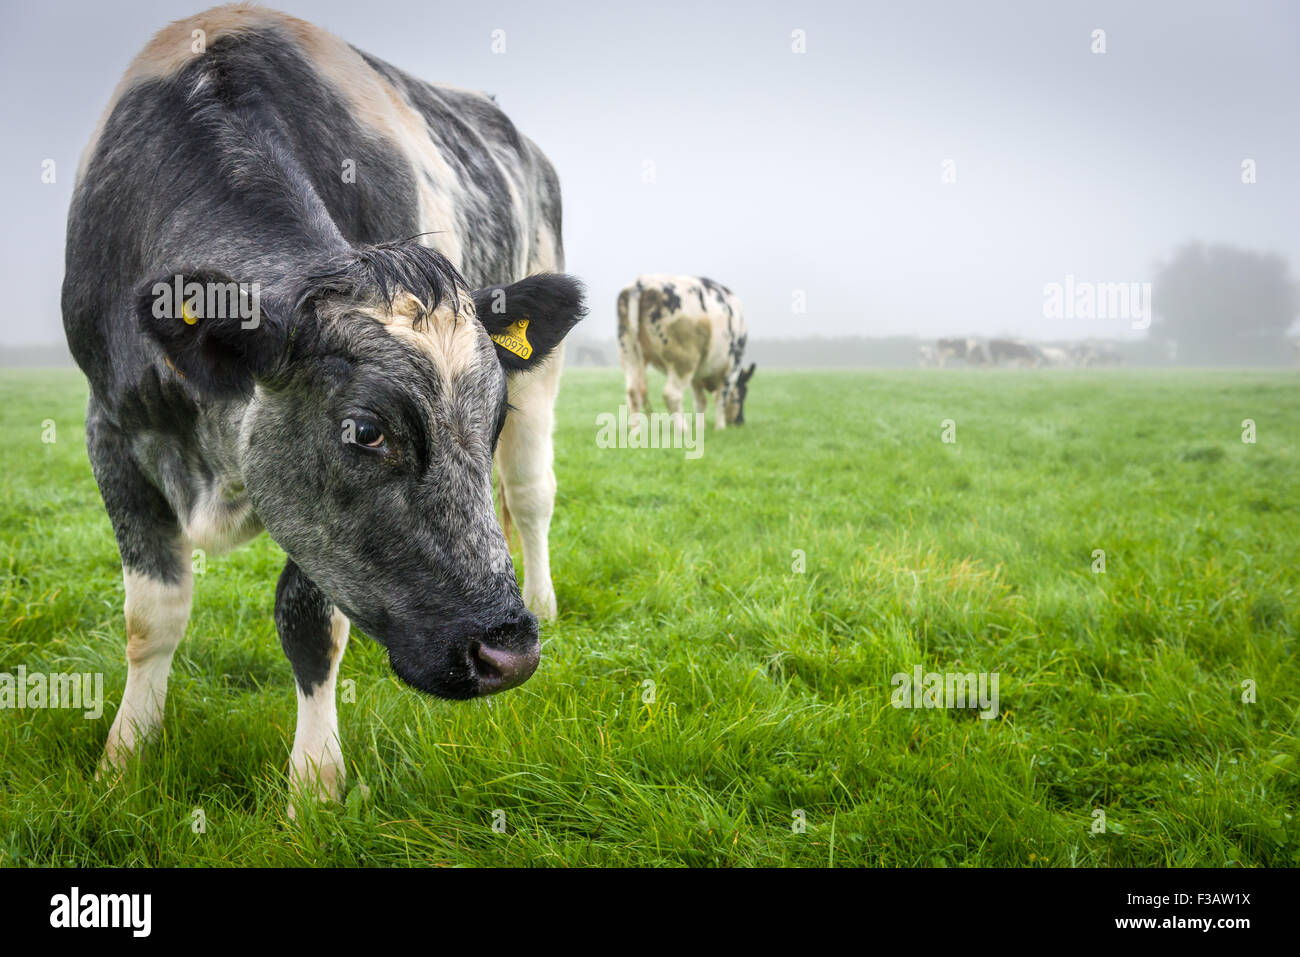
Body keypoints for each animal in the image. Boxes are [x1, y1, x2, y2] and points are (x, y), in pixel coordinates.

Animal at [61, 5, 586, 815]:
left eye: (488, 417)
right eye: (366, 430)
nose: (511, 651)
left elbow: (309, 622)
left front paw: (313, 784)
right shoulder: (111, 429)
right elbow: (152, 616)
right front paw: (123, 761)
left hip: (543, 378)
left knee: (529, 497)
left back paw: (543, 595)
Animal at [616, 275, 754, 431]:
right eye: (743, 394)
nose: (740, 421)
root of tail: (641, 283)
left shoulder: (696, 377)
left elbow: (700, 402)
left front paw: (701, 428)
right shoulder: (731, 368)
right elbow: (720, 399)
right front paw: (720, 428)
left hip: (629, 351)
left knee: (633, 392)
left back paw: (636, 430)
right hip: (683, 360)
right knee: (671, 394)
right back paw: (682, 429)